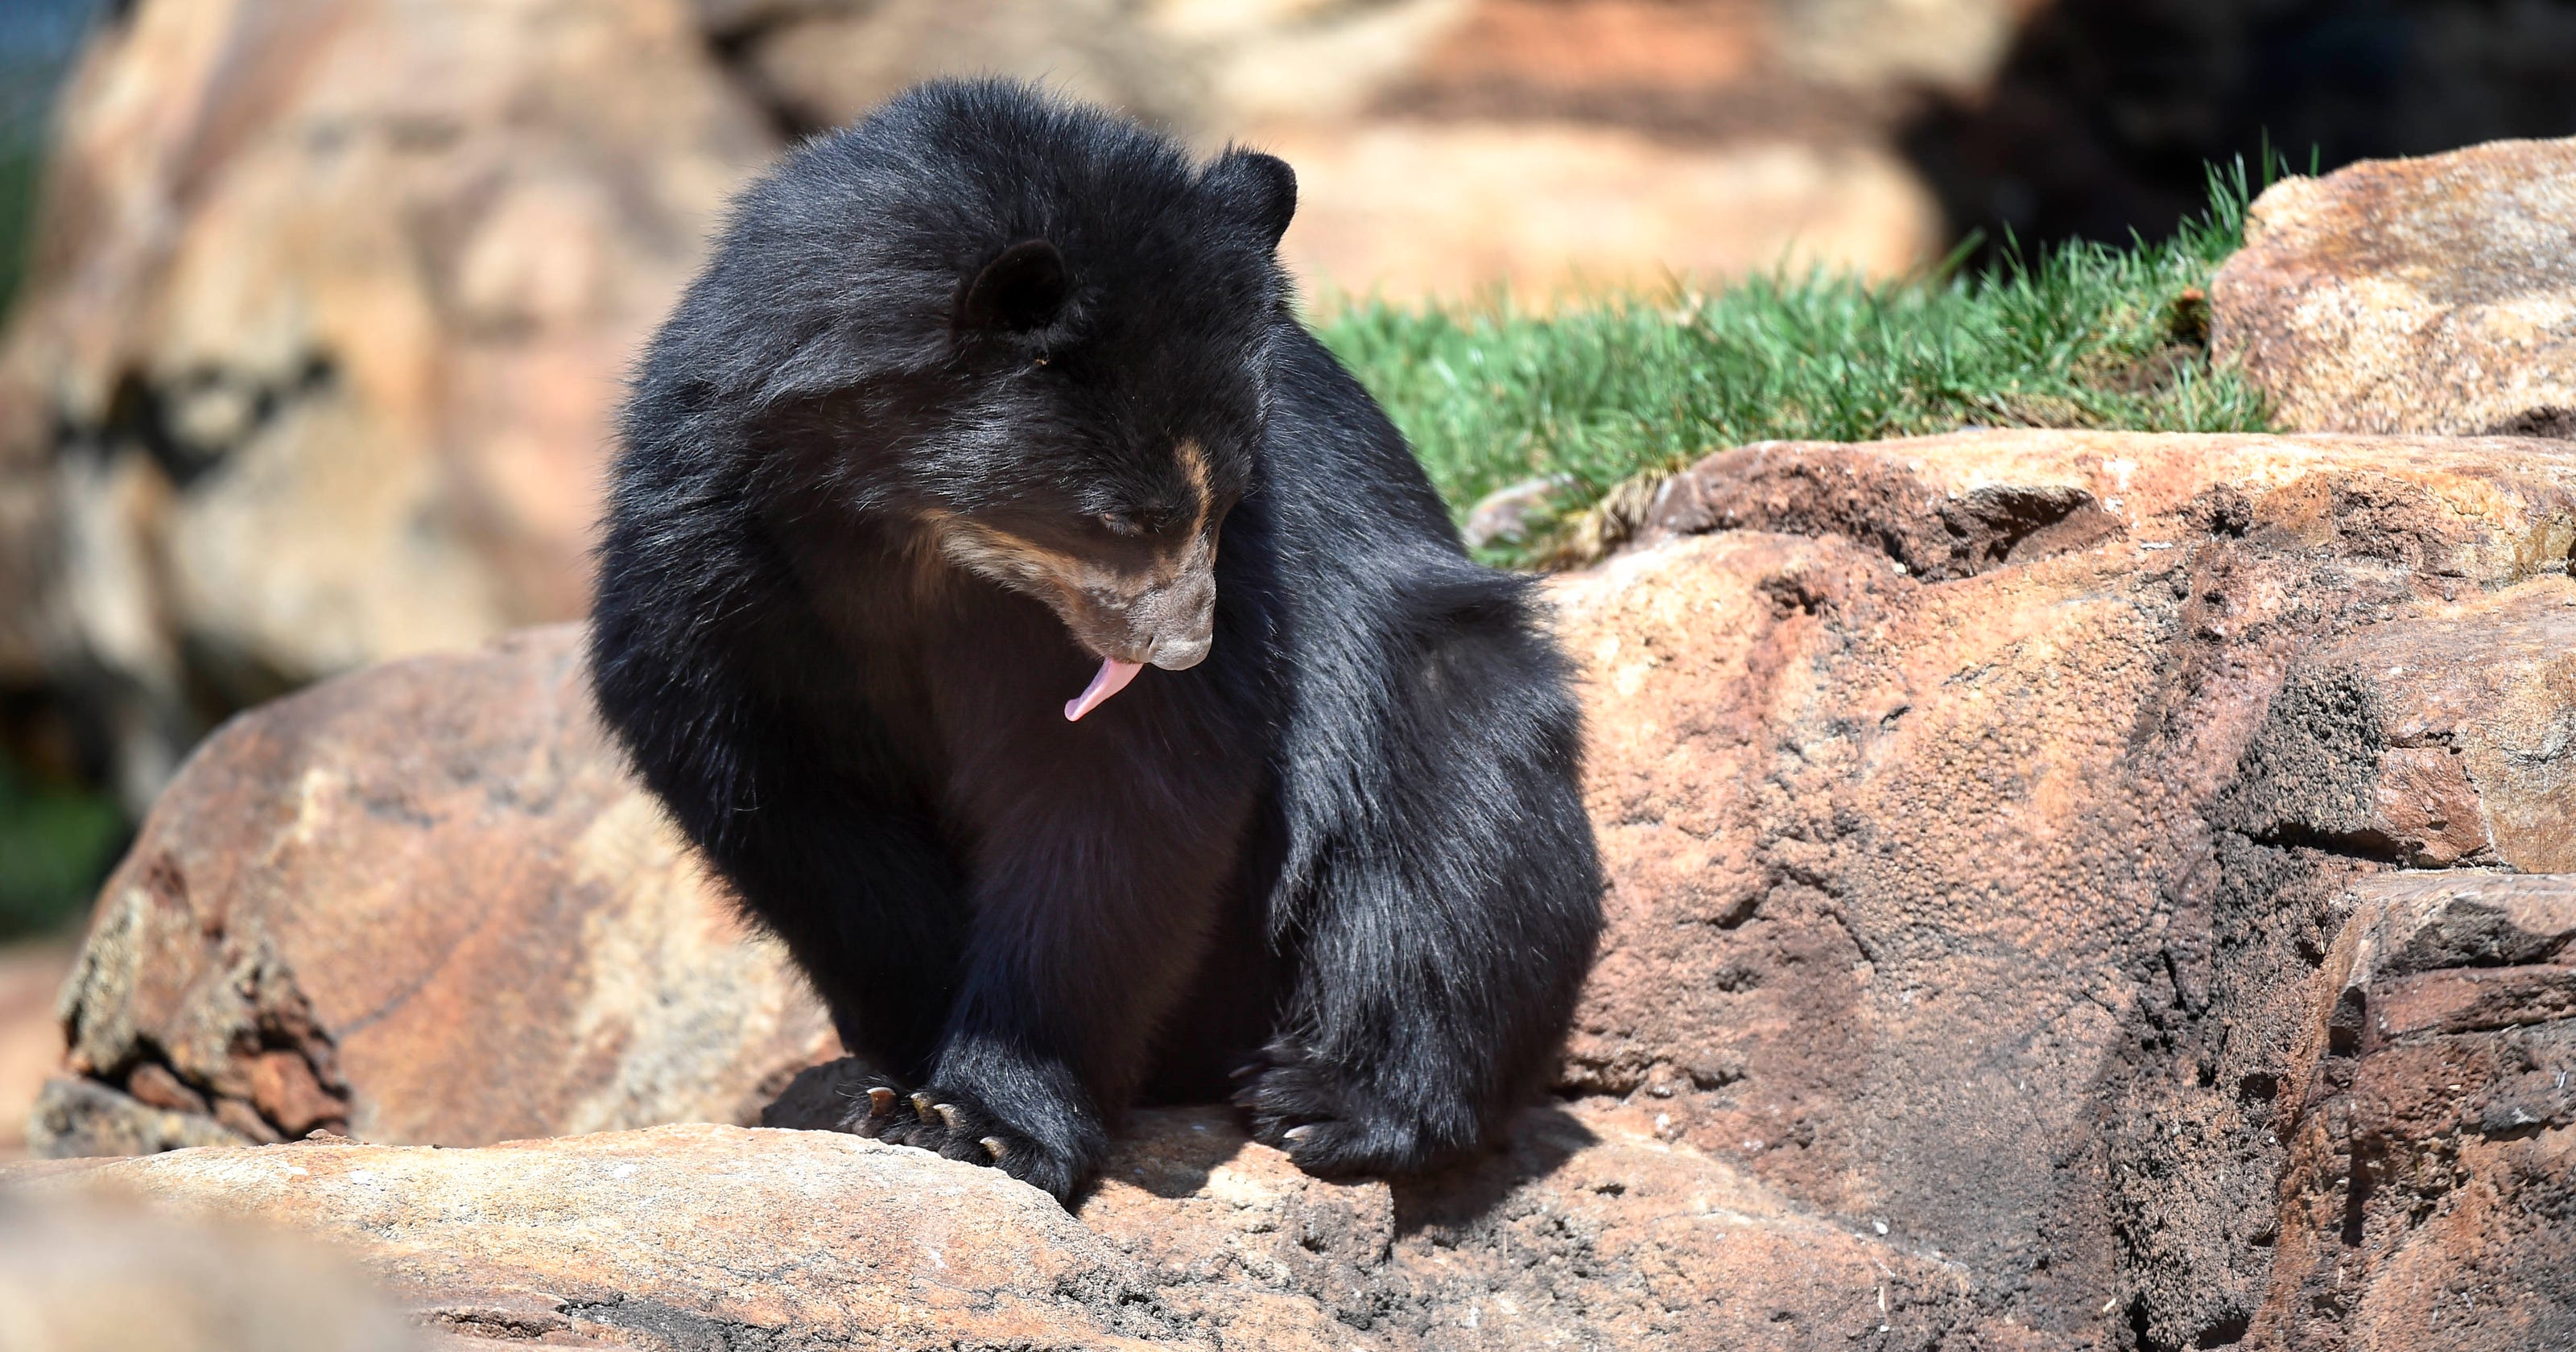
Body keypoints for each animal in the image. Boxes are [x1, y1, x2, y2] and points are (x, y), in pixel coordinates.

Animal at [588, 79, 1603, 1204]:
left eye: (1228, 500)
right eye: (1118, 519)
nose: (1182, 648)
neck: (911, 543)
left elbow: (1116, 801)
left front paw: (981, 1120)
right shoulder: (711, 564)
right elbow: (787, 808)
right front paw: (902, 1080)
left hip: (1423, 725)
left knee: (1457, 815)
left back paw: (1338, 1100)